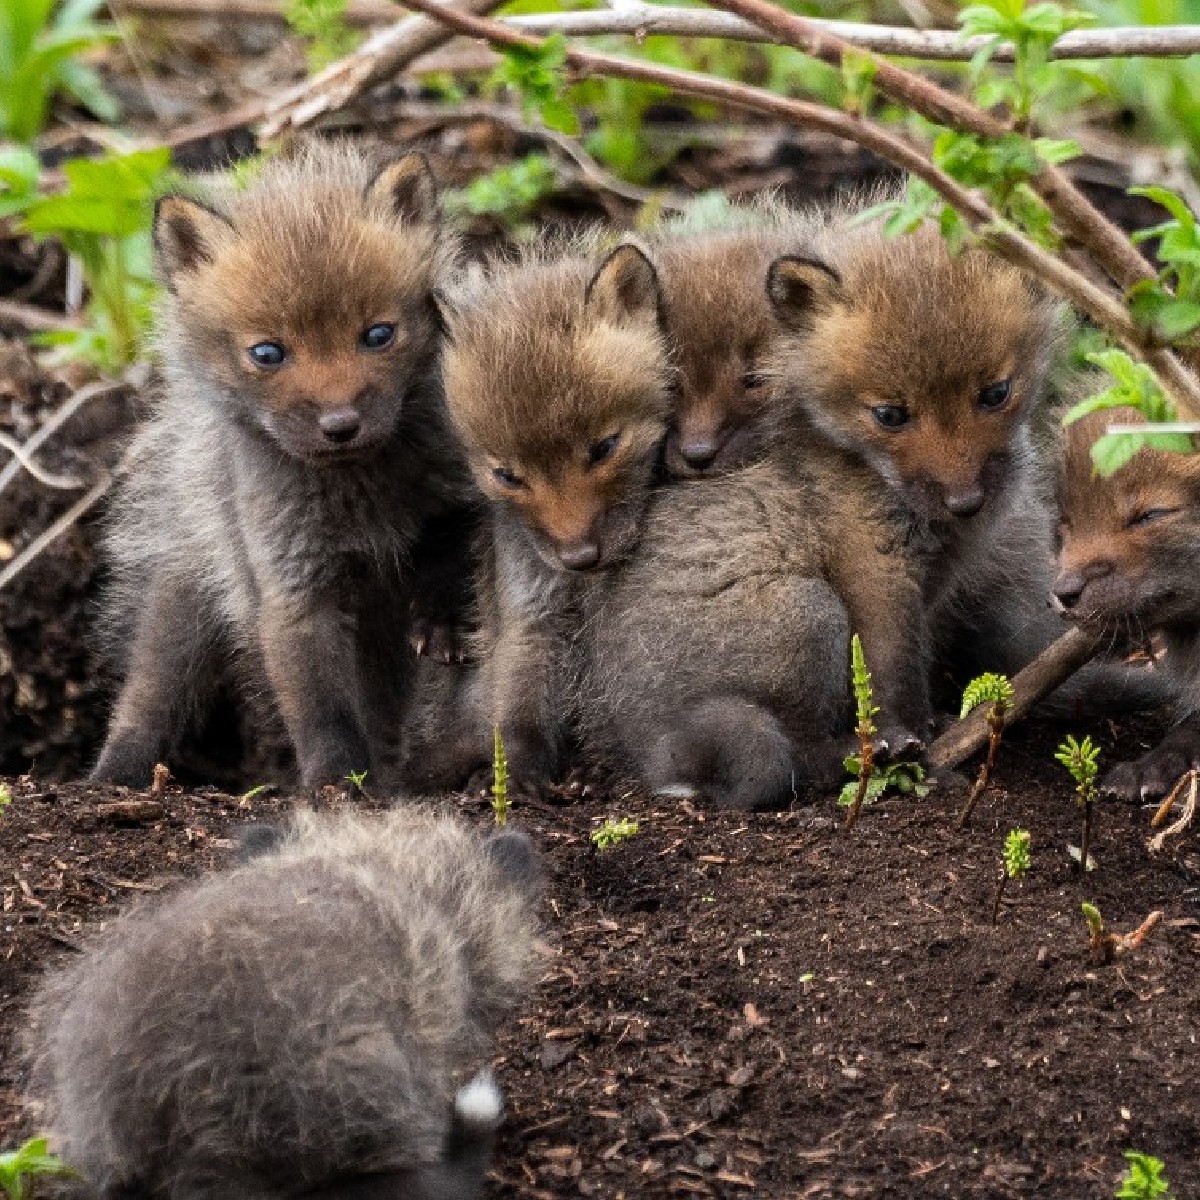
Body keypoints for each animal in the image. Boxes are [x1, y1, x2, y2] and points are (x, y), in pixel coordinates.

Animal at [89, 142, 475, 790]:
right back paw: (115, 773)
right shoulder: (292, 585)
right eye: (268, 352)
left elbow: (450, 548)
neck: (361, 495)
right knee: (147, 692)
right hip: (186, 602)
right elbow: (320, 706)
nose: (341, 424)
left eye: (378, 334)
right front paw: (335, 783)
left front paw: (442, 619)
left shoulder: (467, 486)